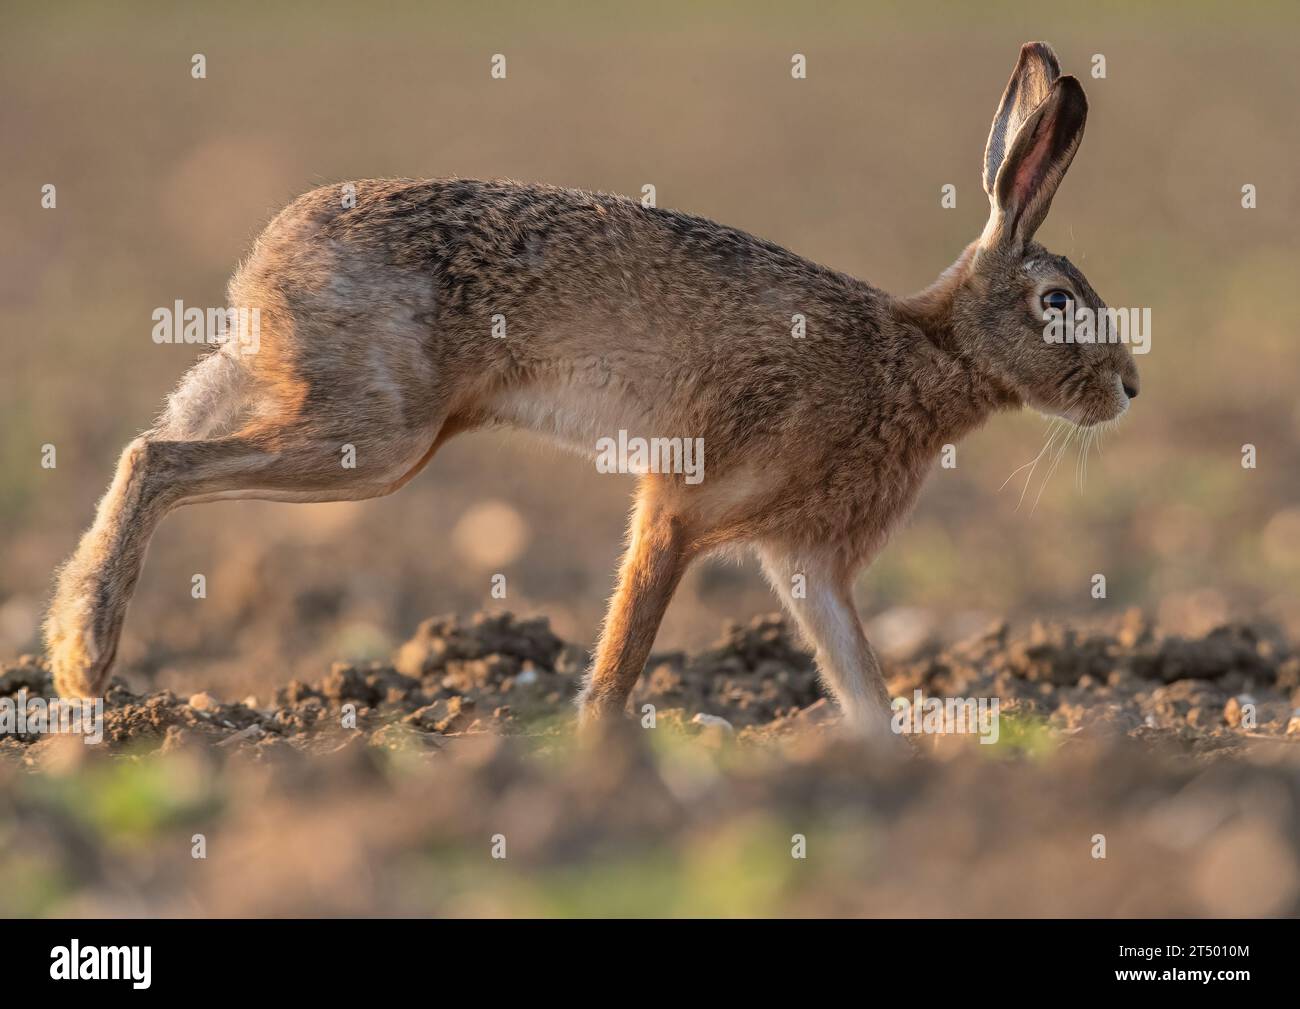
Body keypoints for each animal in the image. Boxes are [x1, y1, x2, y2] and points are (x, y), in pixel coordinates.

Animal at [45, 42, 1137, 747]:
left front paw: (888, 760)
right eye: (1056, 302)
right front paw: (596, 756)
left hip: (307, 398)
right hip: (377, 438)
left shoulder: (806, 561)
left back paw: (68, 653)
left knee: (156, 436)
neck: (924, 348)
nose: (1129, 385)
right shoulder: (688, 506)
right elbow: (628, 637)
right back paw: (86, 659)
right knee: (161, 458)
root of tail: (273, 254)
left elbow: (855, 671)